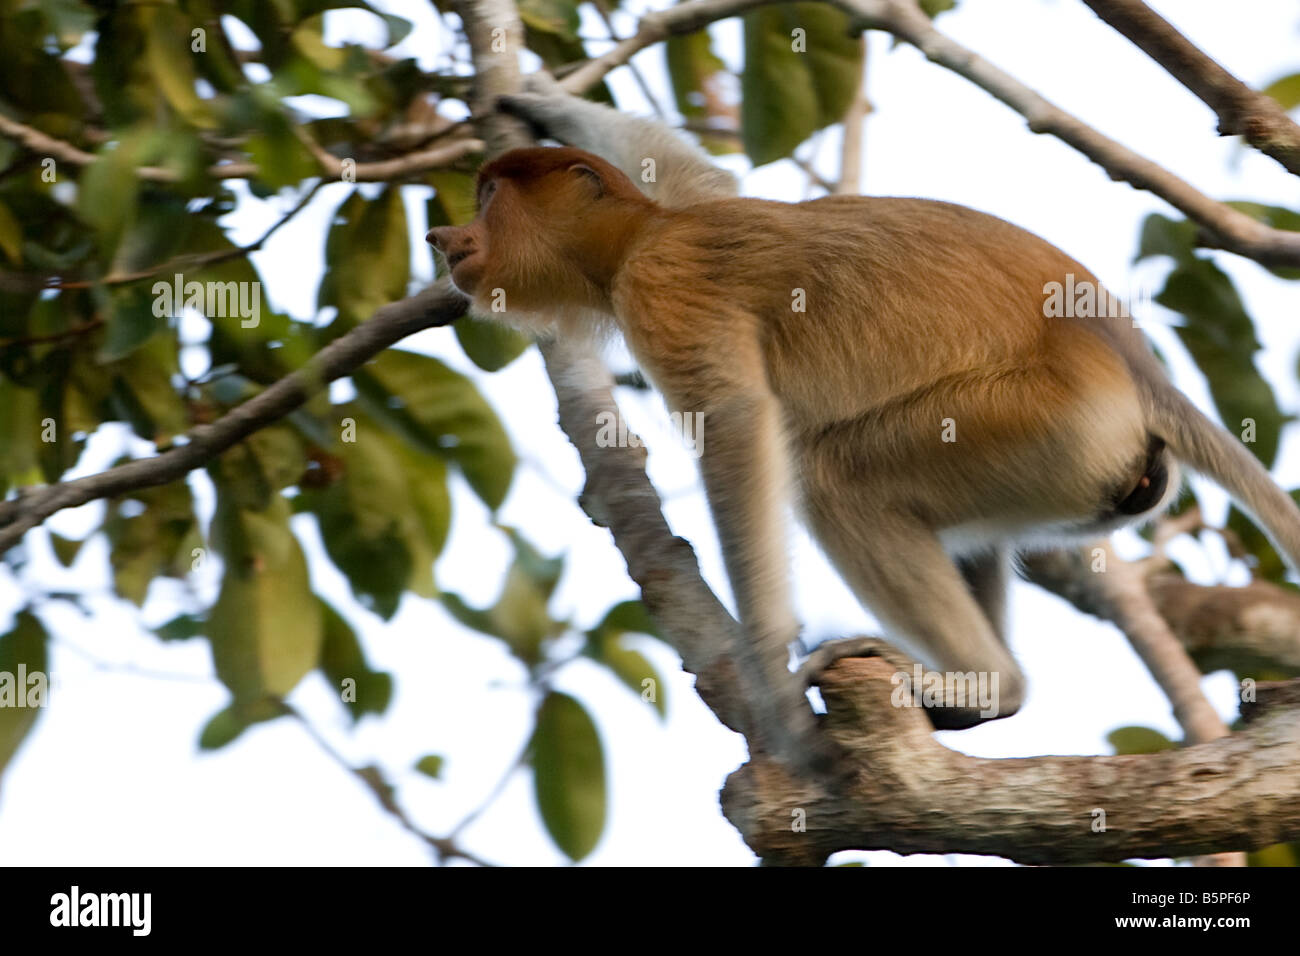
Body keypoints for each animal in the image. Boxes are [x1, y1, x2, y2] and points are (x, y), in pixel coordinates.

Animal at [425, 87, 1300, 774]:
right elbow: (704, 174)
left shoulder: (662, 281)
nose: (443, 239)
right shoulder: (683, 211)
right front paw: (539, 101)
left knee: (834, 475)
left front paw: (769, 681)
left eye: (488, 198)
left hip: (1049, 422)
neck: (633, 240)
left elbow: (738, 423)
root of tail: (1135, 368)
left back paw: (981, 684)